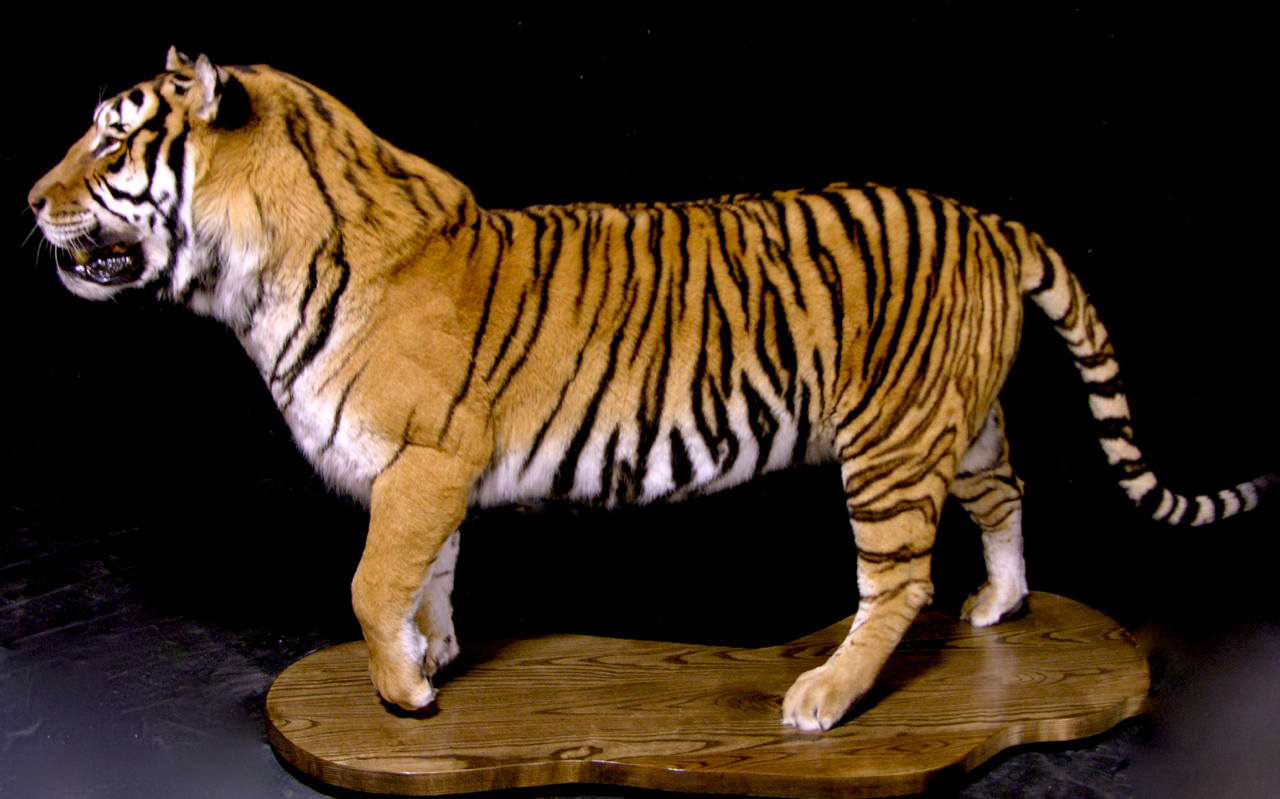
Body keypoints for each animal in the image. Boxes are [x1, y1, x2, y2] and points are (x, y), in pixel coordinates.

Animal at [27, 49, 1271, 732]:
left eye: (110, 144)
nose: (31, 201)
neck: (255, 276)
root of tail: (990, 218)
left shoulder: (422, 461)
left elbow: (372, 584)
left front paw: (403, 697)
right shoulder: (428, 474)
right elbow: (428, 580)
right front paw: (432, 662)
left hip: (886, 446)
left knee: (896, 581)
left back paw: (823, 694)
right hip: (949, 423)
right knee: (1008, 493)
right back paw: (1001, 604)